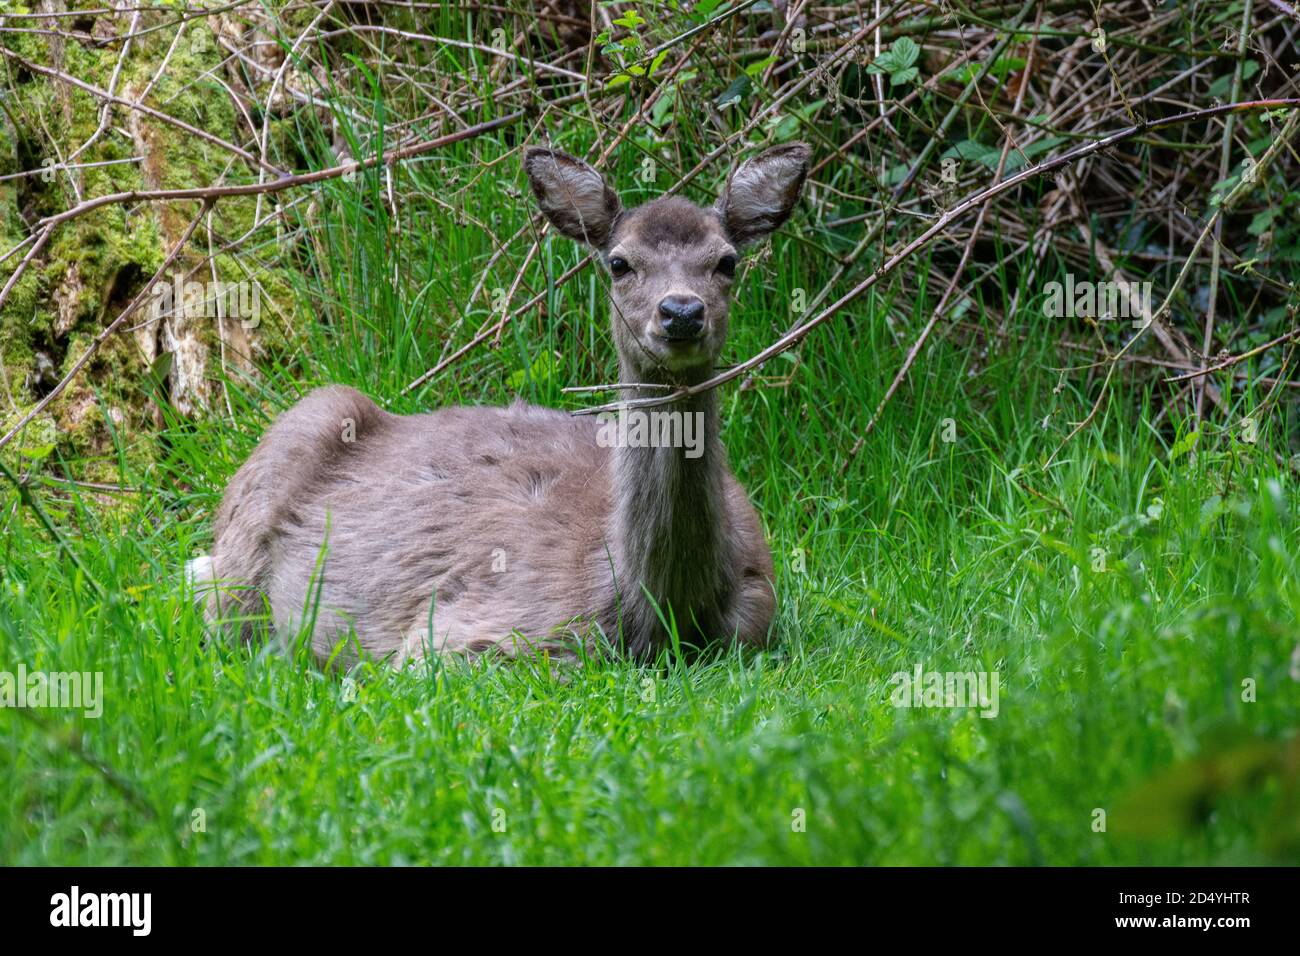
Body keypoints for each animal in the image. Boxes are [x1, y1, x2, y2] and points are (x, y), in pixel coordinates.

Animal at [187, 142, 811, 664]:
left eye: (727, 261)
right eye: (619, 262)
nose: (681, 312)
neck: (662, 610)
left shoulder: (759, 614)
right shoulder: (470, 632)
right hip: (286, 456)